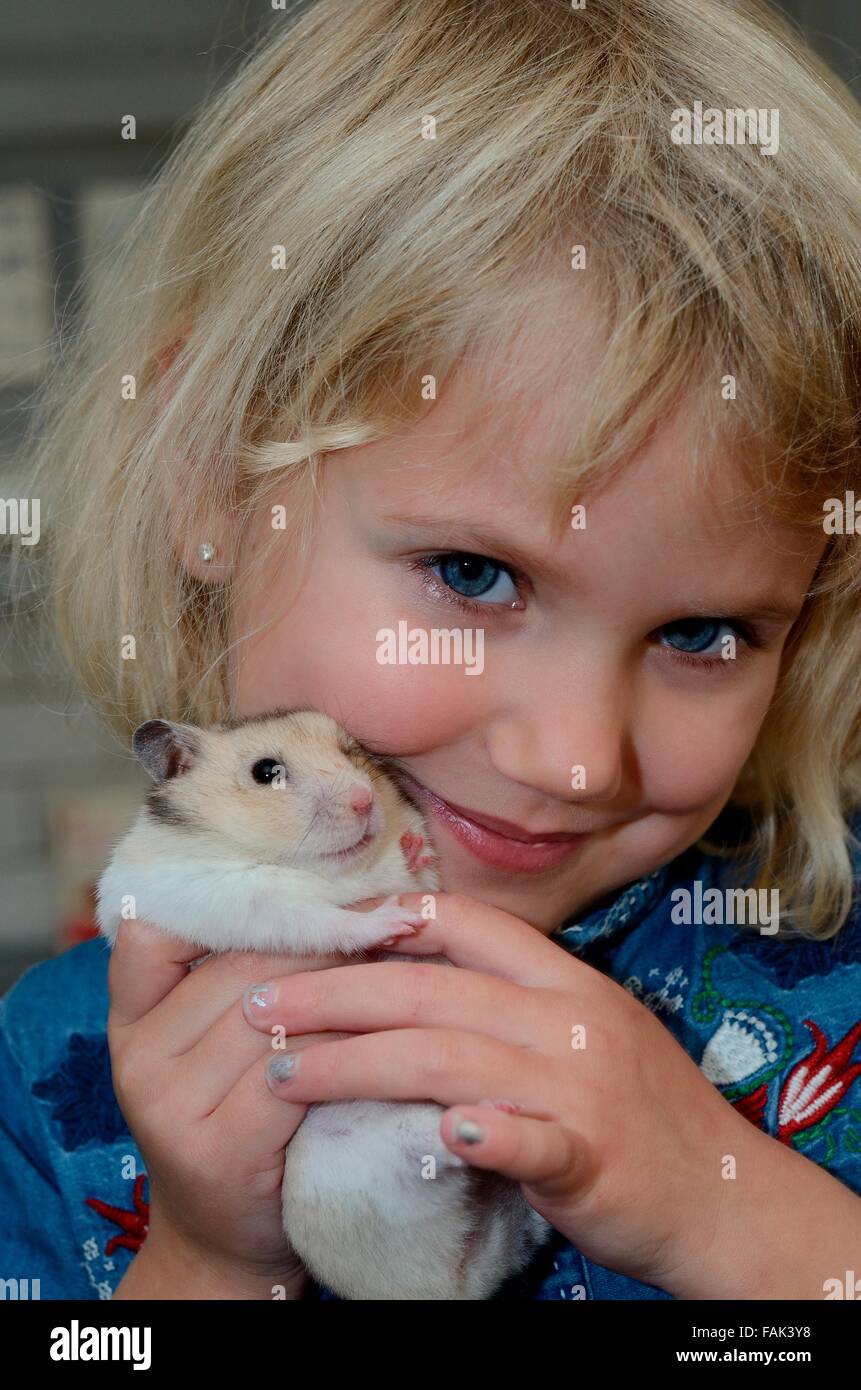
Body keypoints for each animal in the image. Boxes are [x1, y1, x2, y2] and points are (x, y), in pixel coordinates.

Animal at [96, 708, 552, 1299]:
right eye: (266, 772)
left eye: (352, 751)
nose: (364, 799)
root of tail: (452, 1279)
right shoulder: (250, 906)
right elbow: (326, 921)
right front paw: (397, 920)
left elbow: (416, 875)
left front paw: (413, 846)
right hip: (344, 1165)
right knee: (434, 1148)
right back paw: (490, 1118)